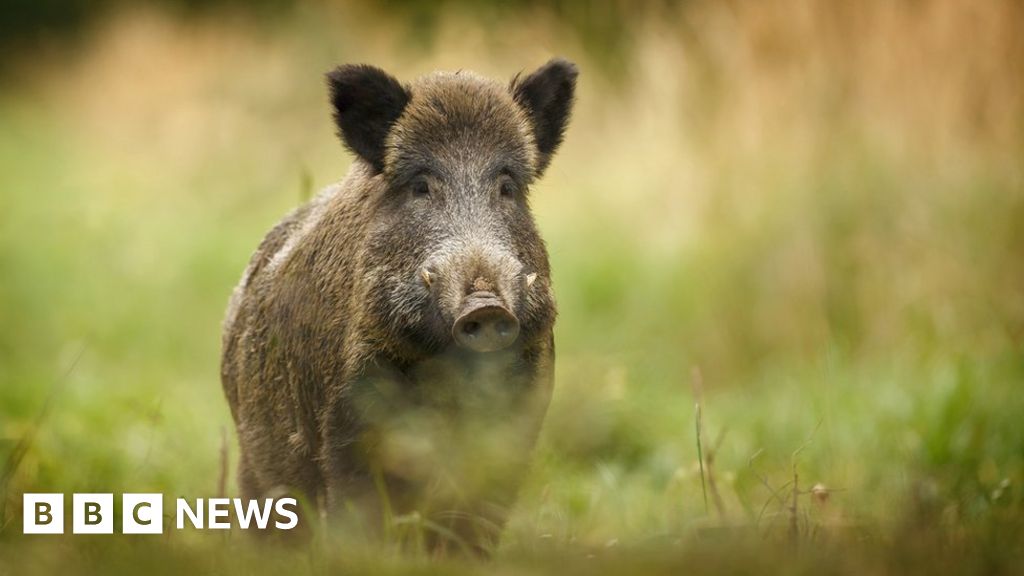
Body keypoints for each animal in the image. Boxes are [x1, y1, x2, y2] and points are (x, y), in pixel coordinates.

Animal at [220, 59, 577, 553]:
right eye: (421, 186)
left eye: (507, 187)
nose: (486, 306)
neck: (449, 376)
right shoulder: (349, 418)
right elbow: (360, 510)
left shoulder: (519, 417)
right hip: (258, 464)